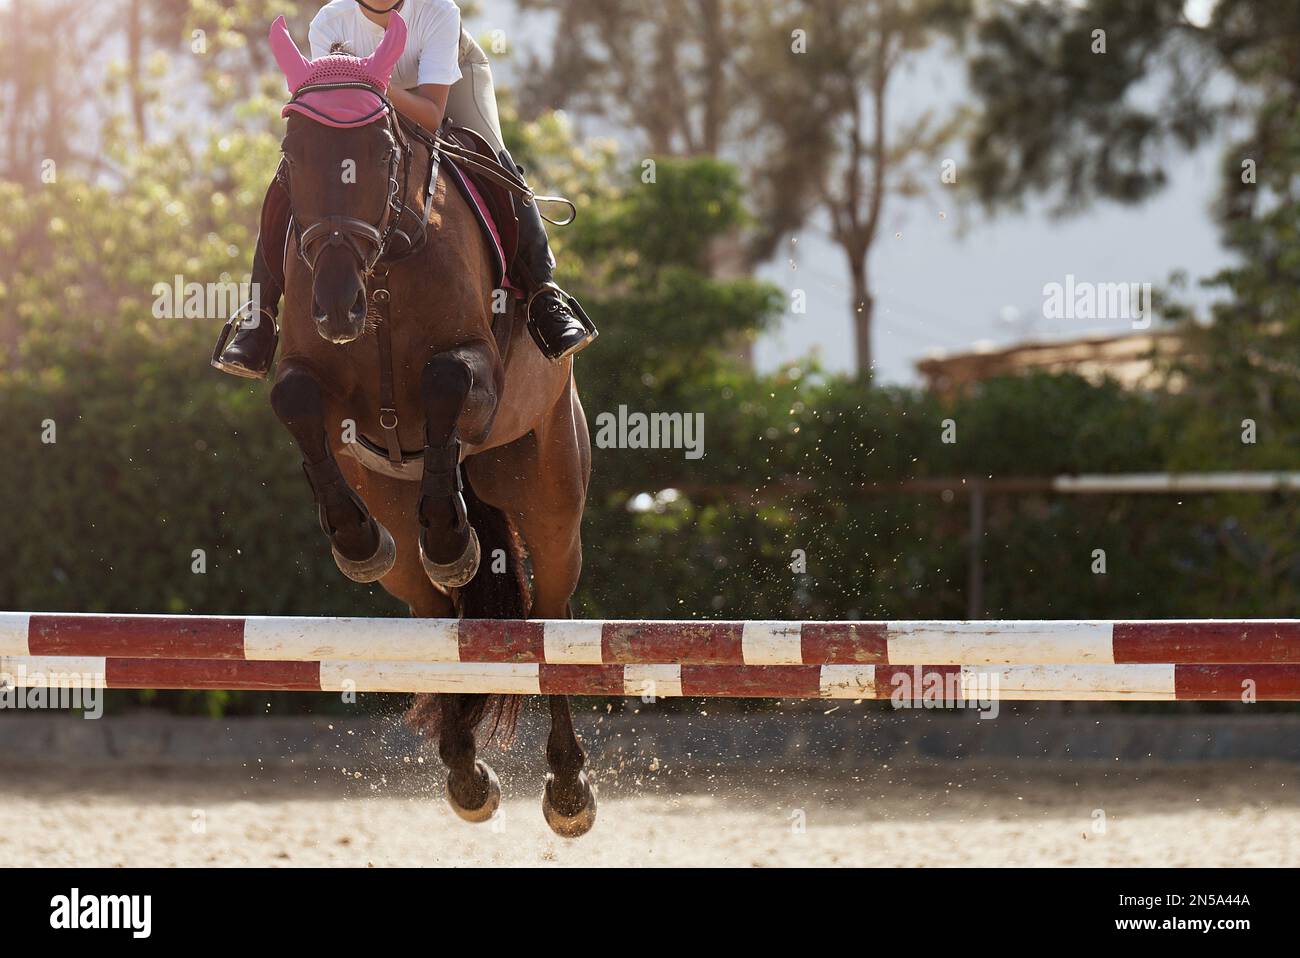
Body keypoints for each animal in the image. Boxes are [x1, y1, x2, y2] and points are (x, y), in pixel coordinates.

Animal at [261, 14, 595, 836]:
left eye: (380, 153)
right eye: (294, 155)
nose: (338, 305)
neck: (382, 262)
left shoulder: (477, 368)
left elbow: (446, 381)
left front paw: (453, 541)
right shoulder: (313, 377)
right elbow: (296, 401)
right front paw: (355, 539)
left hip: (550, 494)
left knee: (551, 619)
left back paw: (567, 788)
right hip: (397, 521)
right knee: (431, 612)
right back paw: (465, 773)